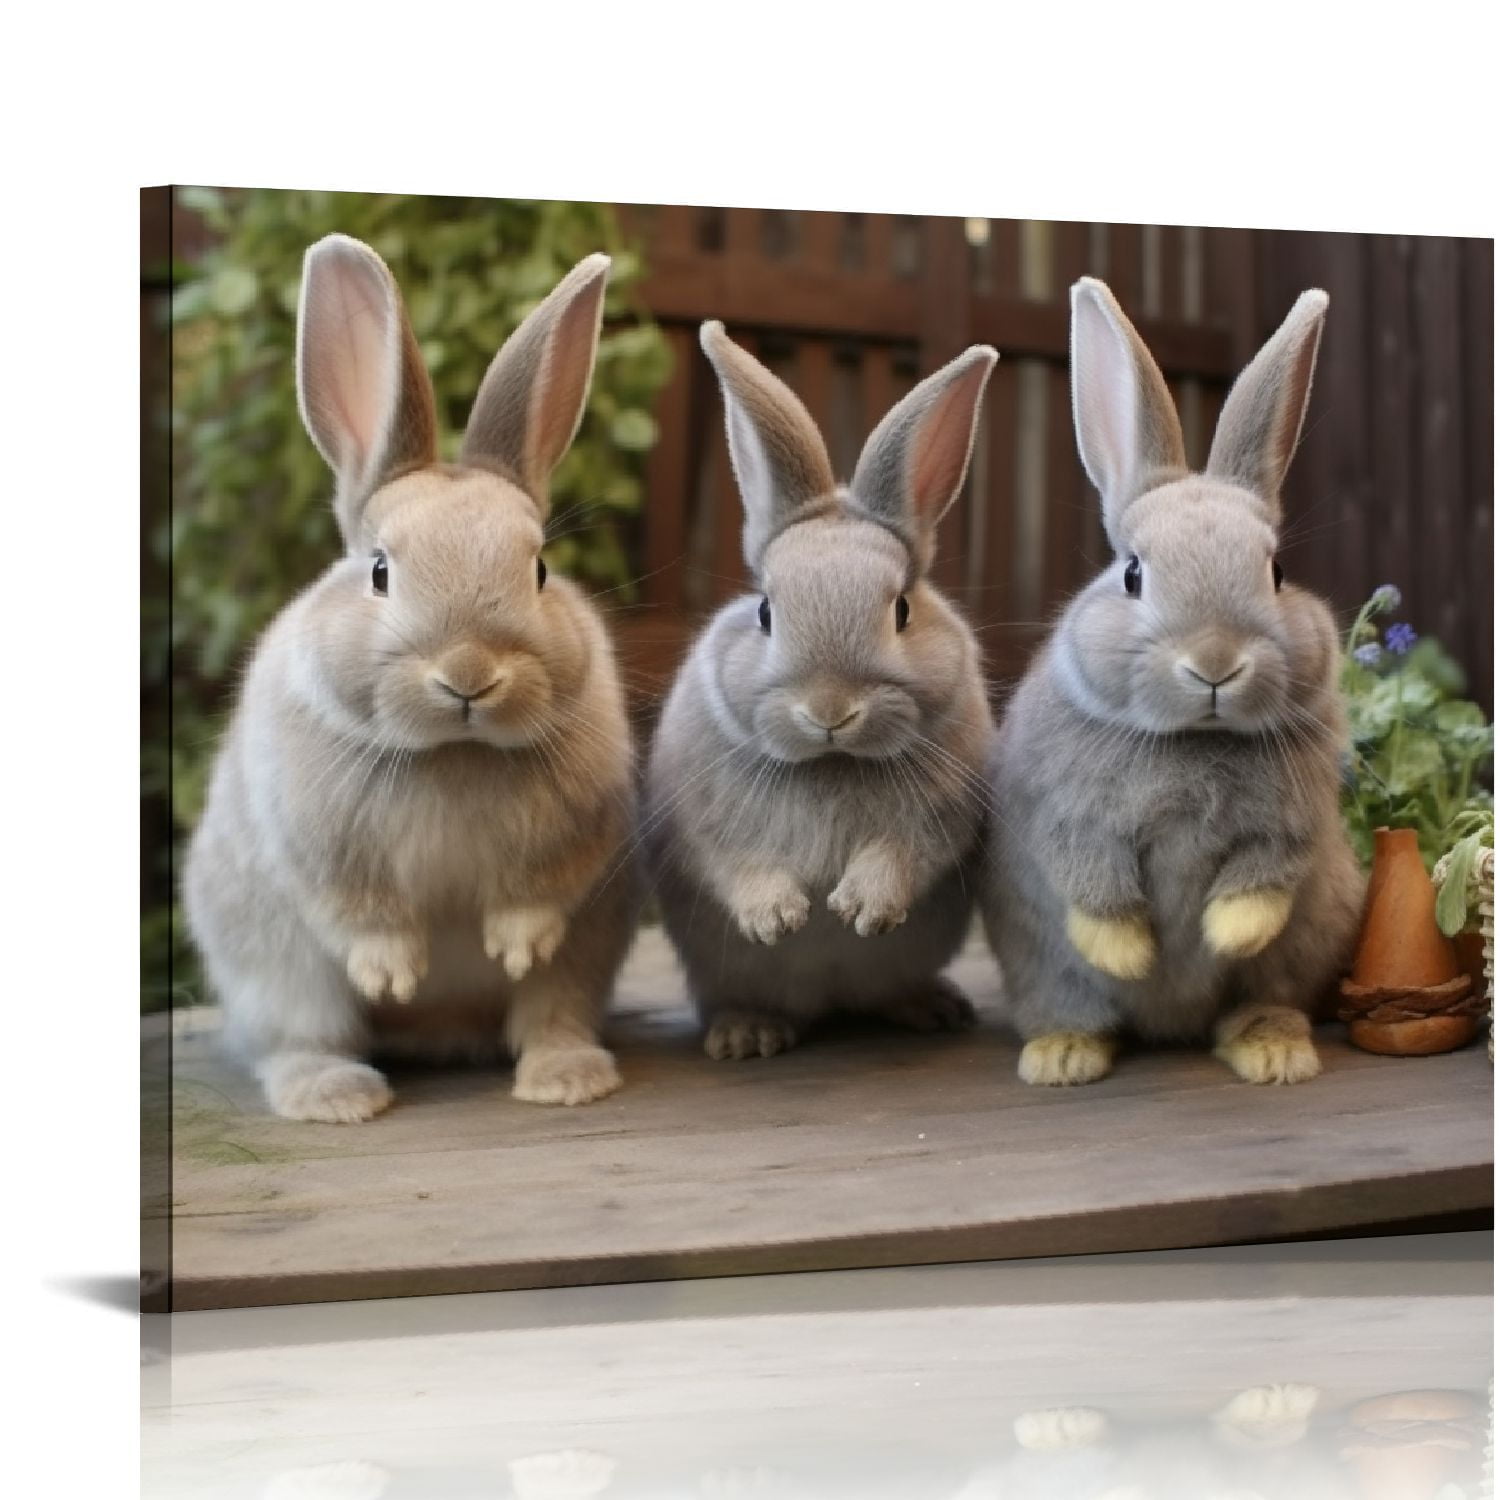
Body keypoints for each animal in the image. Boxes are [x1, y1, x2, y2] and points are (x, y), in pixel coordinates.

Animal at [183, 235, 639, 1122]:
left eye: (539, 570)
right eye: (381, 571)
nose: (469, 675)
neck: (451, 754)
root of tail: (442, 1034)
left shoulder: (574, 841)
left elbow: (534, 899)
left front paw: (513, 943)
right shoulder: (325, 851)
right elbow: (366, 916)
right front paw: (394, 973)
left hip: (584, 963)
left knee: (550, 1014)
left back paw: (567, 1080)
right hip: (282, 976)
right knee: (302, 1038)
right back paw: (336, 1096)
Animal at [643, 322, 998, 1061]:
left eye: (902, 610)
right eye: (765, 612)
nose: (829, 709)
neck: (832, 762)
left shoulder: (939, 817)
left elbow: (902, 853)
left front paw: (859, 910)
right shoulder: (704, 824)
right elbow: (735, 861)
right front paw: (779, 917)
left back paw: (931, 1006)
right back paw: (746, 1033)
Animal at [981, 276, 1364, 1087]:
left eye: (1276, 571)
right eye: (1132, 573)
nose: (1215, 662)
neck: (1194, 739)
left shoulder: (1290, 825)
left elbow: (1260, 885)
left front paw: (1220, 939)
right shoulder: (1069, 817)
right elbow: (1093, 885)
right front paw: (1133, 955)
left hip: (1308, 942)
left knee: (1262, 998)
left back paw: (1274, 1052)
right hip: (1040, 967)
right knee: (1074, 1005)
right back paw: (1063, 1056)